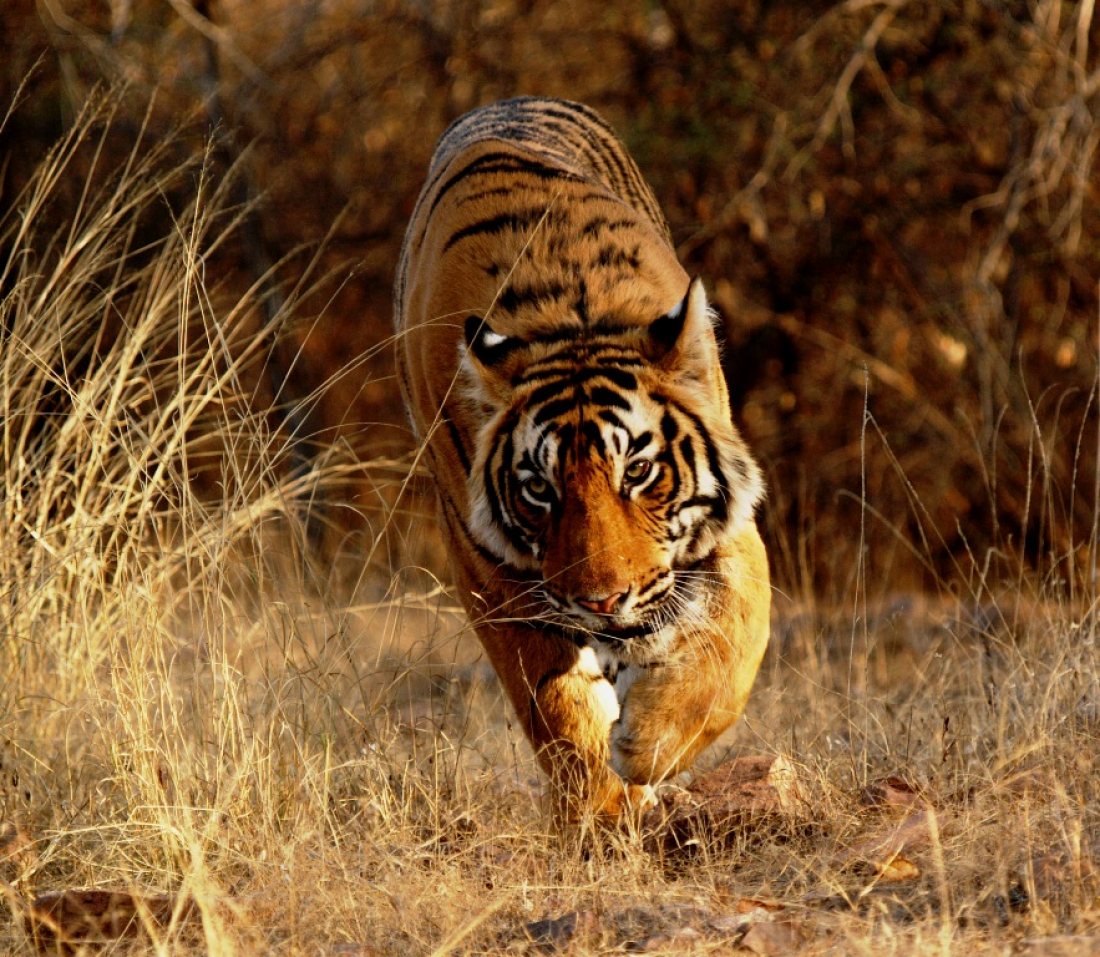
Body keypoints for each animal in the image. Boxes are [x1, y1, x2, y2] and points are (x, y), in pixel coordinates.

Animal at [394, 96, 770, 822]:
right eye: (539, 490)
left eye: (639, 472)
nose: (604, 601)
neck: (566, 318)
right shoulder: (488, 566)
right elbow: (558, 706)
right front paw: (605, 811)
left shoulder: (724, 525)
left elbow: (737, 636)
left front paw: (651, 743)